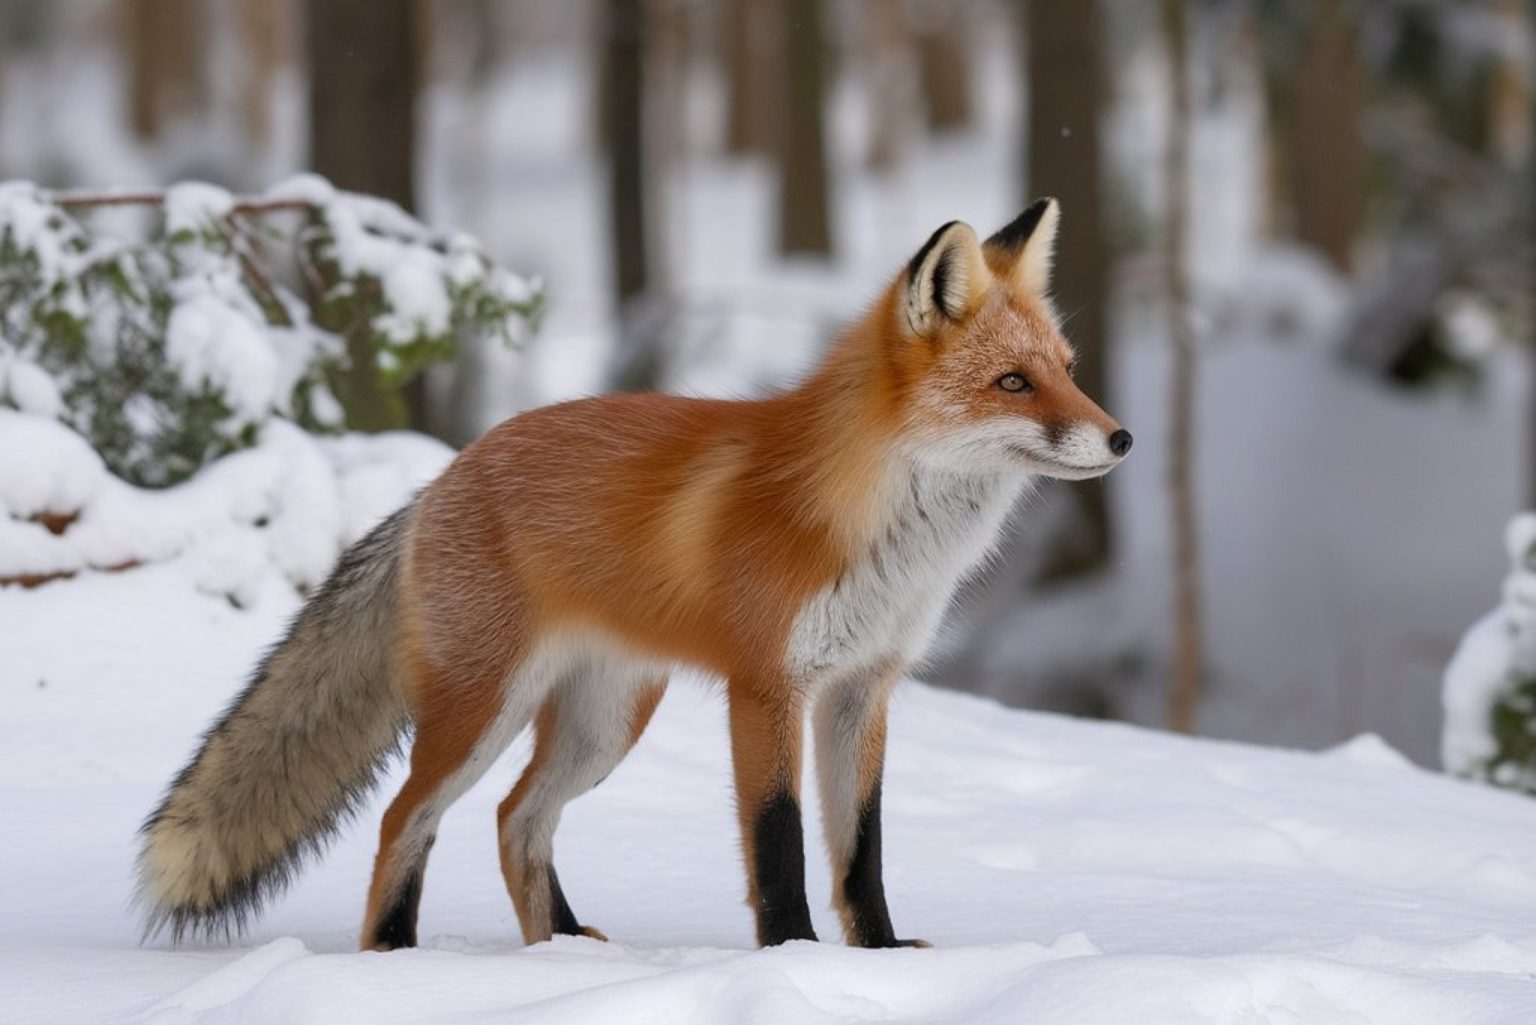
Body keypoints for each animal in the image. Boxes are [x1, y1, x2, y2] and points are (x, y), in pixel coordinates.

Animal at [138, 198, 1131, 952]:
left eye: (1068, 371)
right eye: (1012, 383)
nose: (1121, 437)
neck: (874, 531)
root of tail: (442, 477)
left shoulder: (864, 688)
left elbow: (862, 848)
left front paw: (882, 955)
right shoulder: (766, 687)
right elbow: (778, 842)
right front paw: (792, 956)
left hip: (606, 722)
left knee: (515, 819)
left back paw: (558, 951)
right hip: (482, 710)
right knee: (405, 818)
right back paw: (392, 956)